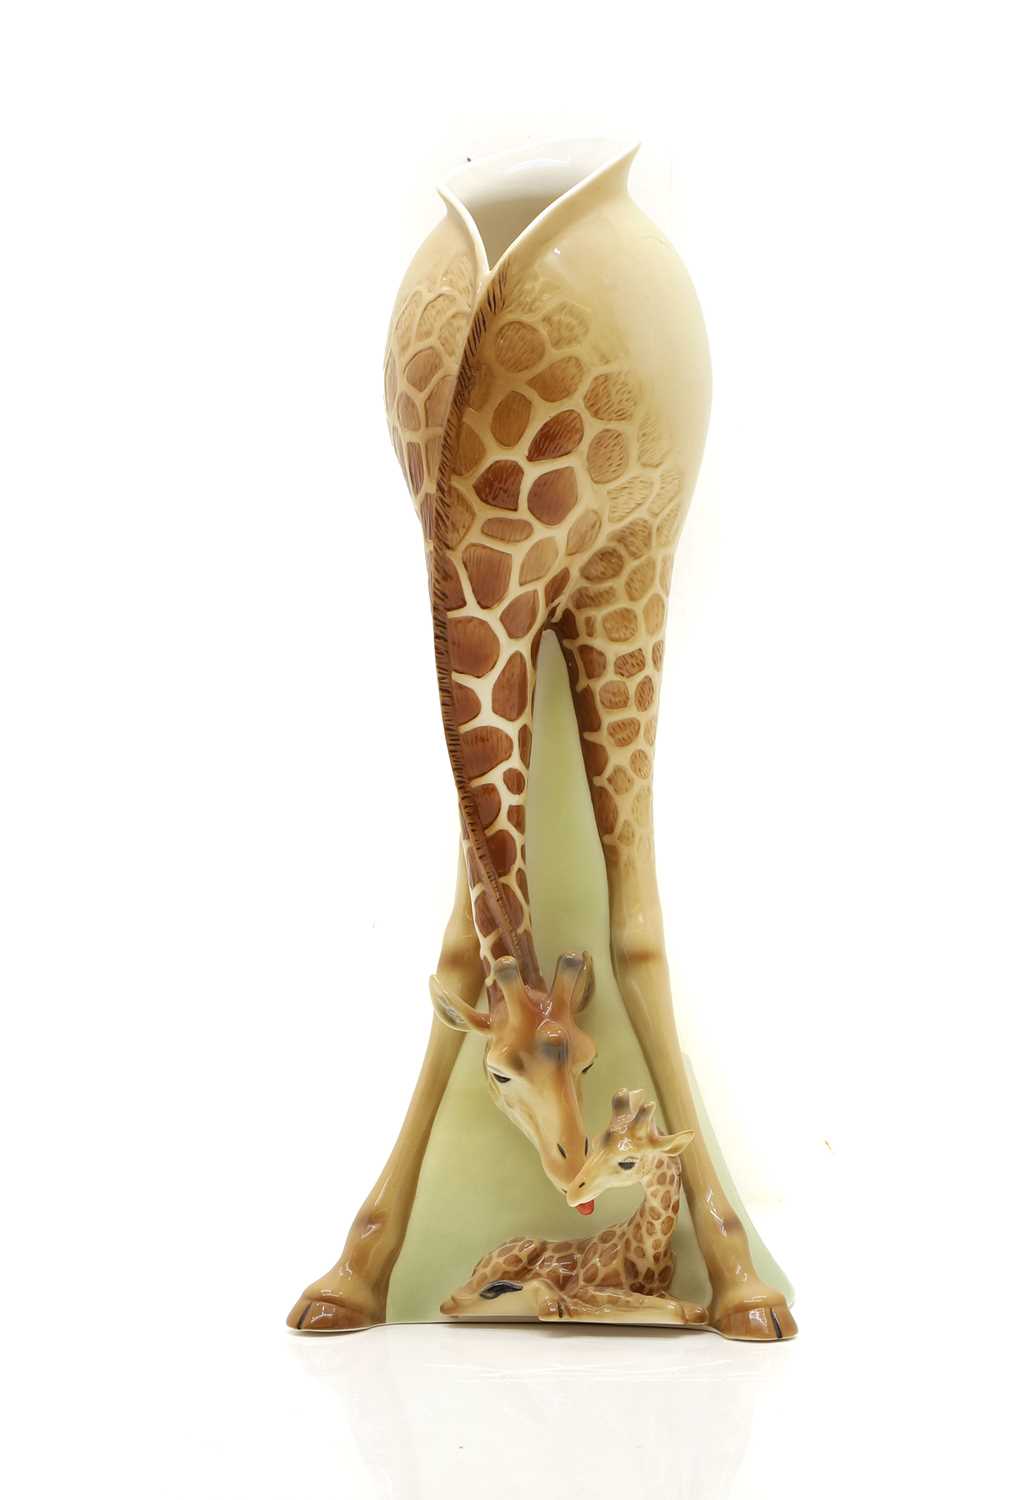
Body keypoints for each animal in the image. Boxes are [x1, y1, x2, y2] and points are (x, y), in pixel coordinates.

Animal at [440, 1090, 707, 1326]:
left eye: (627, 1162)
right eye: (595, 1144)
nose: (573, 1192)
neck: (652, 1252)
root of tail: (478, 1263)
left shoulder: (661, 1290)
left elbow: (695, 1310)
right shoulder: (585, 1287)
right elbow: (670, 1309)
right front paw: (578, 1309)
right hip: (521, 1250)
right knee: (454, 1300)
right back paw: (553, 1305)